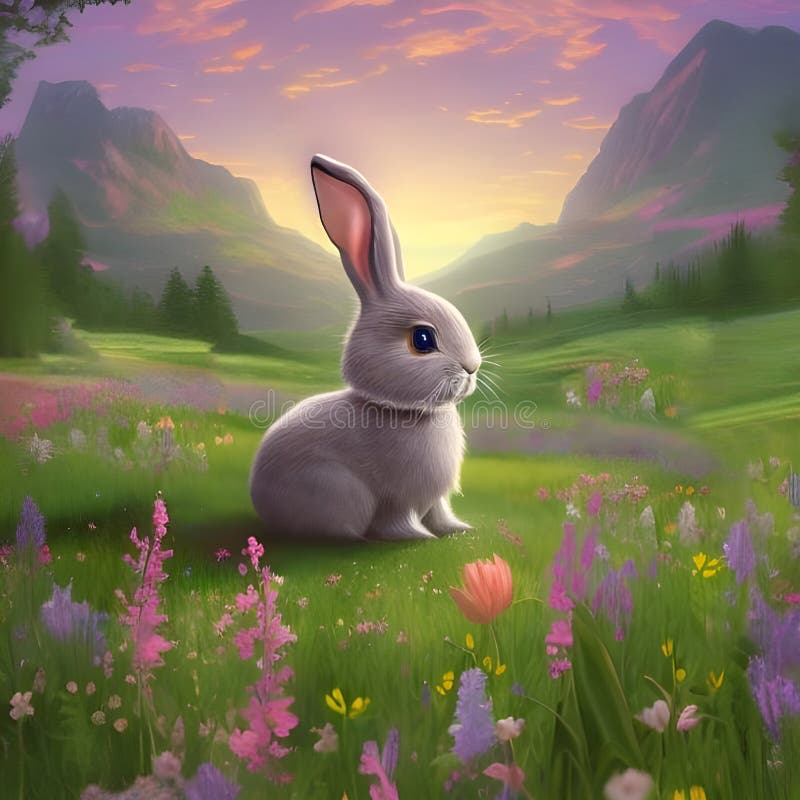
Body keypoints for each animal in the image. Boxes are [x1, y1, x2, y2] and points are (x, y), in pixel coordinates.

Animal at [249, 154, 481, 540]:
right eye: (423, 340)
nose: (472, 368)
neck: (403, 411)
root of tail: (258, 501)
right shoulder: (396, 499)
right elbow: (400, 520)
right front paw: (418, 537)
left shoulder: (434, 499)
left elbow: (440, 512)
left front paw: (457, 528)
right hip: (341, 493)